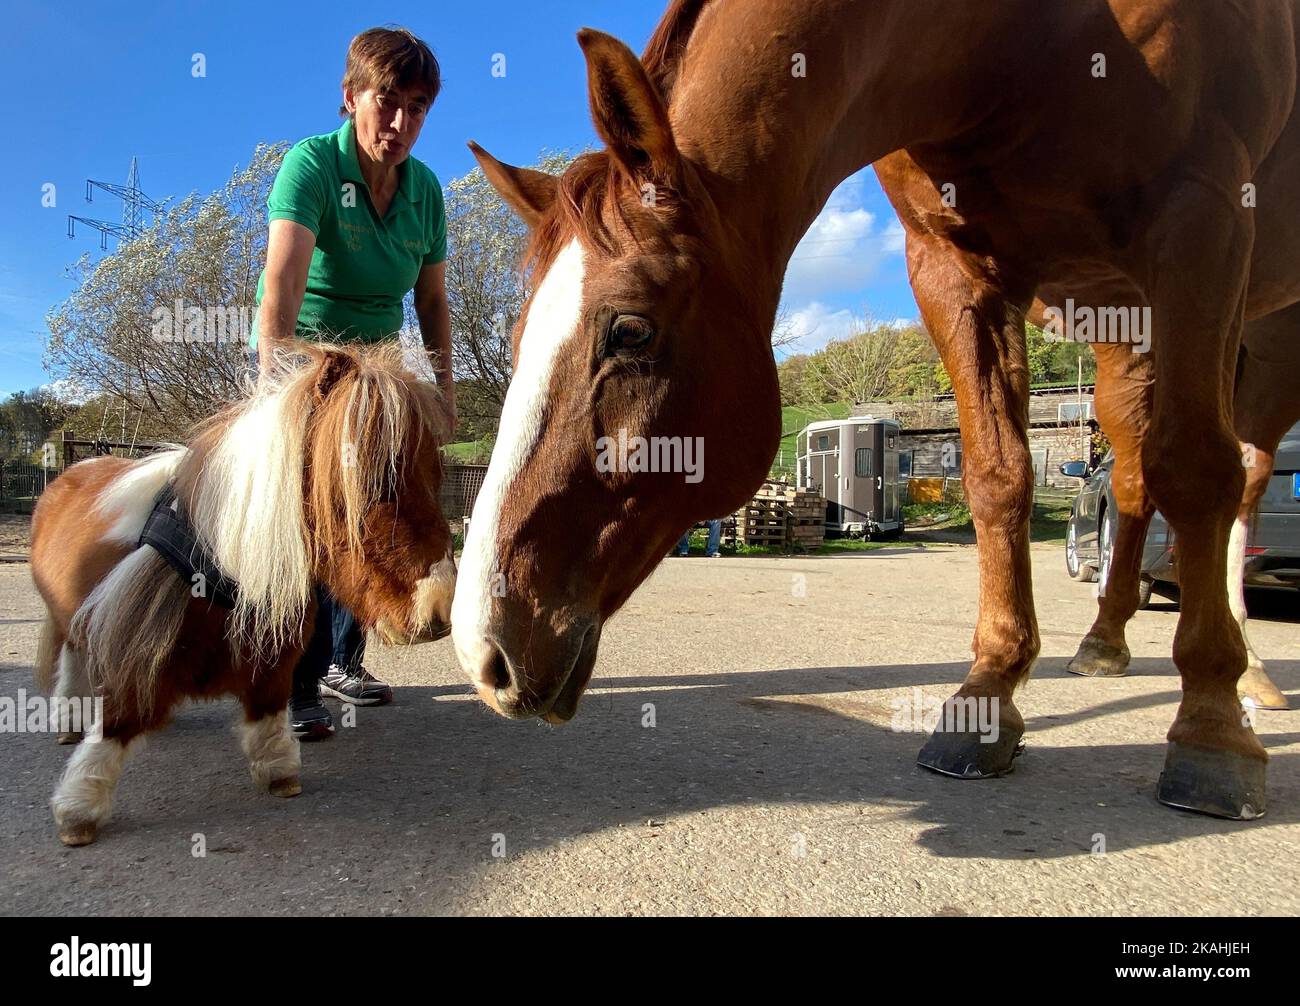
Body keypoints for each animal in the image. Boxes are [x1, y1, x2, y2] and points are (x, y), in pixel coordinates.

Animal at [30, 342, 456, 846]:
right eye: (374, 482)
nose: (441, 608)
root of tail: (76, 467)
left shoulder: (271, 655)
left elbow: (268, 704)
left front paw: (278, 769)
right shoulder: (134, 648)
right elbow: (119, 718)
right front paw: (79, 808)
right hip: (66, 616)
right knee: (72, 655)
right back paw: (69, 720)